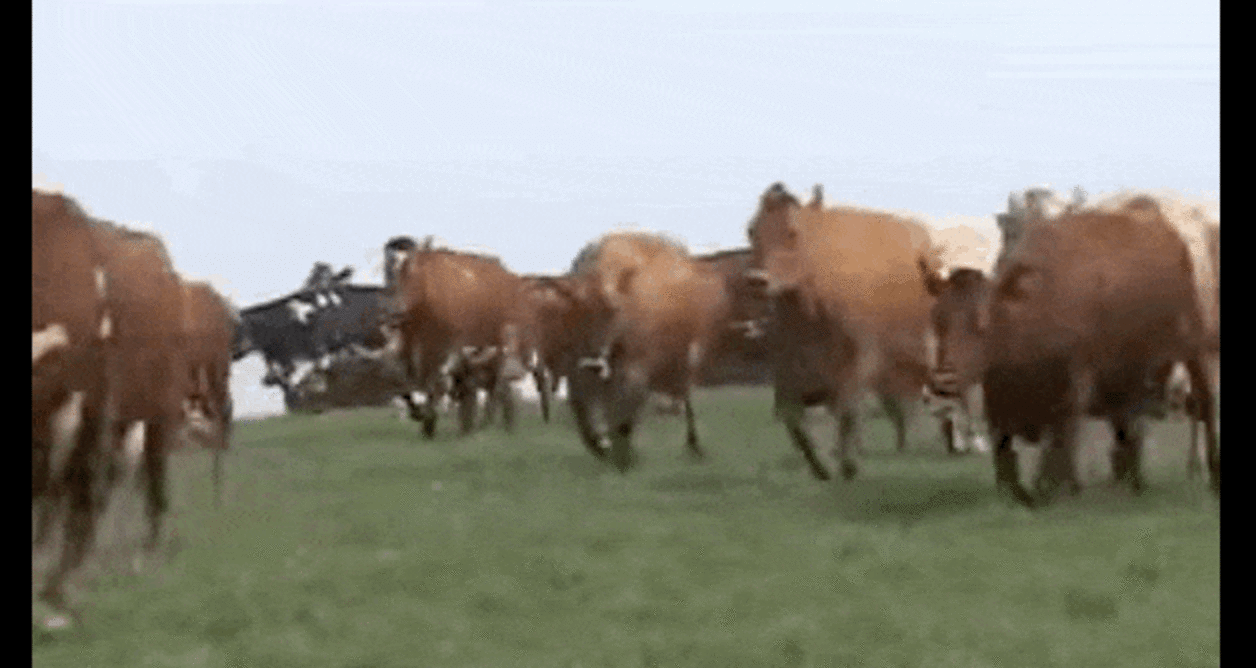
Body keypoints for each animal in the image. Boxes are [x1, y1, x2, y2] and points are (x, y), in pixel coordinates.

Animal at [382, 236, 537, 439]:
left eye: (413, 270)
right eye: (387, 270)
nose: (395, 313)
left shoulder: (448, 347)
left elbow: (438, 383)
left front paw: (429, 421)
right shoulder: (411, 344)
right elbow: (408, 379)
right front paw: (421, 415)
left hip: (506, 349)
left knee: (499, 387)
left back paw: (493, 424)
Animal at [744, 183, 942, 481]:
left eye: (793, 232)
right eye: (751, 230)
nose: (757, 280)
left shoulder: (858, 364)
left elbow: (849, 413)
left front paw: (848, 466)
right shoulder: (789, 374)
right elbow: (795, 422)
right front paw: (822, 468)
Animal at [924, 193, 1219, 505]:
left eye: (984, 322)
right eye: (937, 320)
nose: (943, 383)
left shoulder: (1073, 385)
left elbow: (1058, 444)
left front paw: (1053, 489)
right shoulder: (1000, 400)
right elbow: (1006, 453)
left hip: (1194, 349)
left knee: (1203, 405)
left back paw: (1209, 477)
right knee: (1129, 419)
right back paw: (1130, 480)